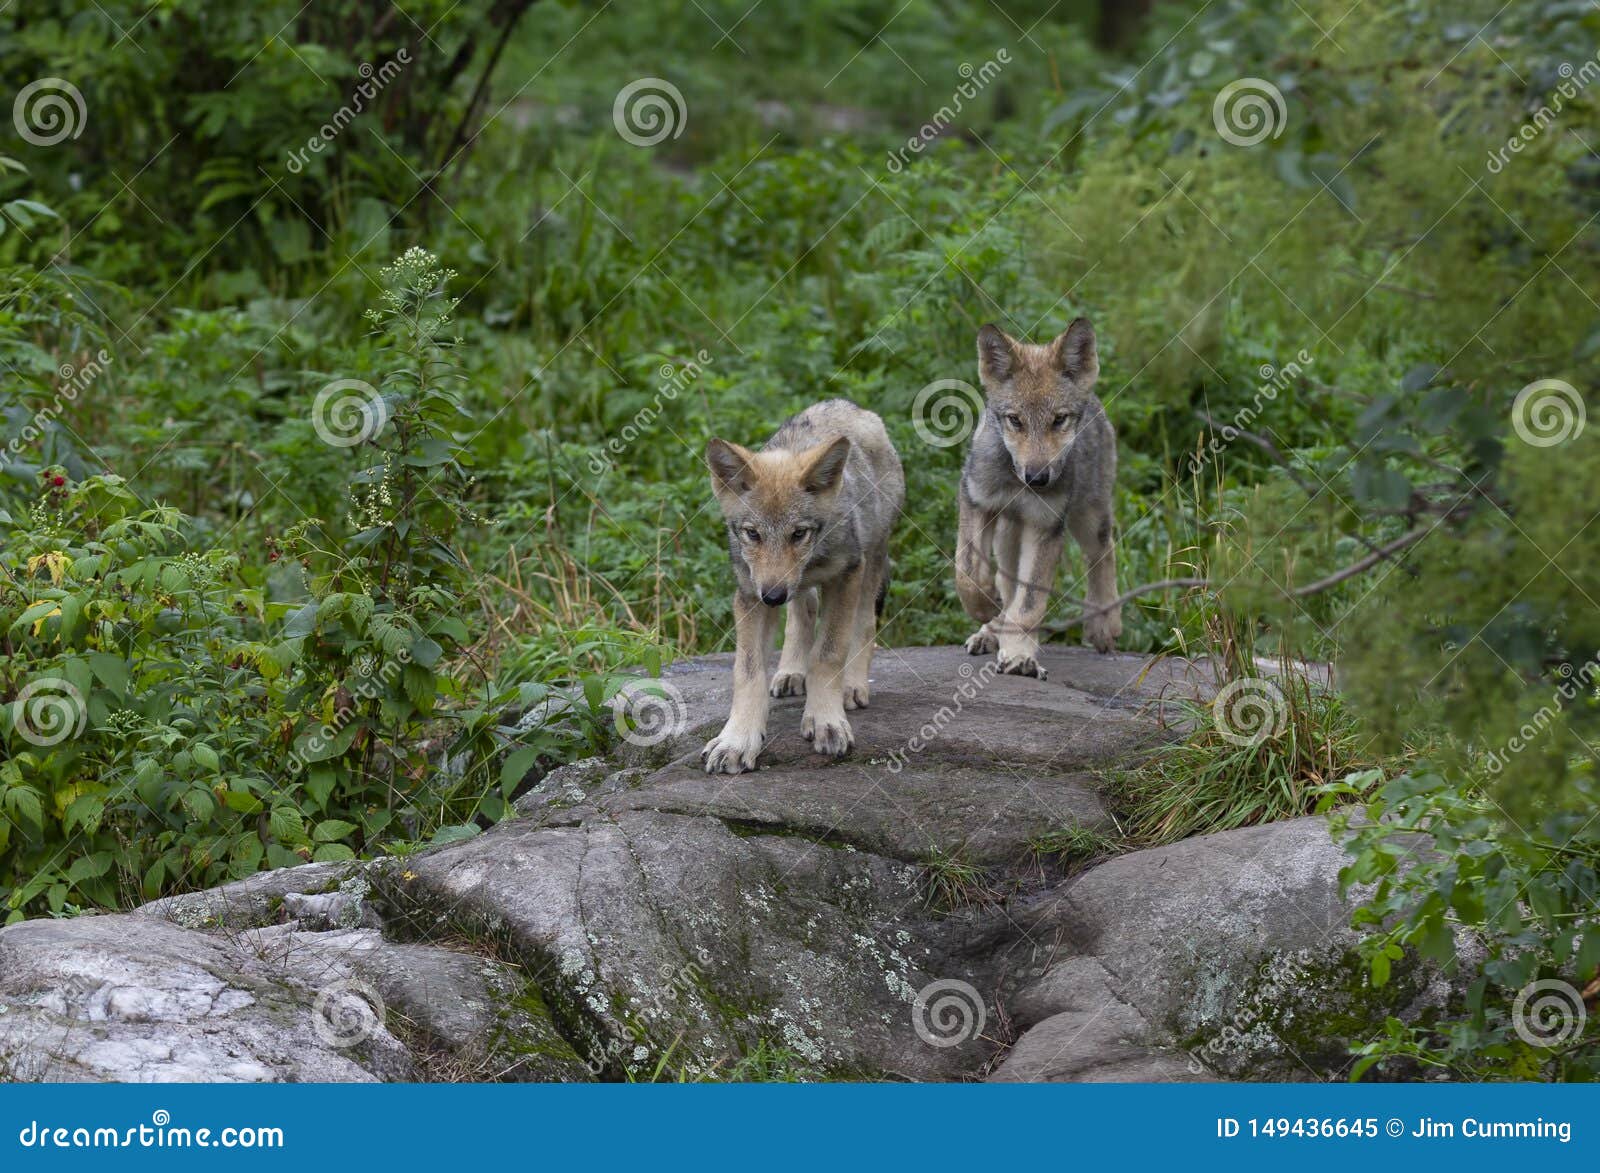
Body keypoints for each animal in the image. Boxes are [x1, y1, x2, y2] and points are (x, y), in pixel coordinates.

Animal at [702, 399, 904, 775]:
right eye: (752, 534)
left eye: (798, 534)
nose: (774, 596)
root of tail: (850, 405)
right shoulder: (750, 594)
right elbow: (747, 672)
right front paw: (737, 741)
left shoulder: (846, 576)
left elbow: (828, 653)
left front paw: (826, 721)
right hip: (794, 587)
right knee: (803, 613)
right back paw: (791, 672)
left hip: (870, 559)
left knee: (865, 623)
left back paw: (852, 686)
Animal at [954, 317, 1120, 678]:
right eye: (1015, 420)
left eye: (1059, 420)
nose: (1037, 478)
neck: (1017, 484)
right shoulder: (976, 502)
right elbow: (968, 573)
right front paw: (984, 609)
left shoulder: (1046, 527)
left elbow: (1029, 604)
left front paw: (1018, 655)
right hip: (1007, 537)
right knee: (1005, 585)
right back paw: (990, 630)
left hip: (1088, 519)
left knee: (1104, 552)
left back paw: (1104, 625)